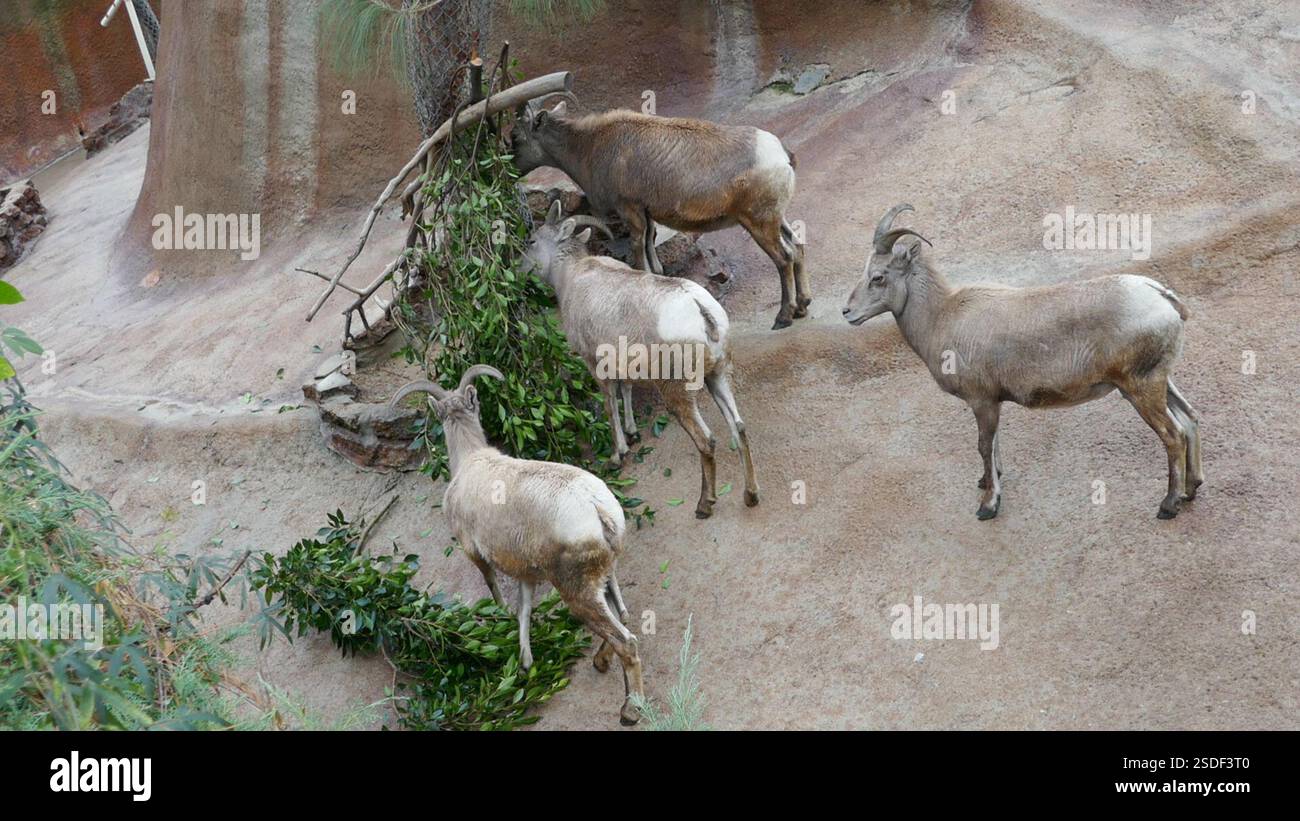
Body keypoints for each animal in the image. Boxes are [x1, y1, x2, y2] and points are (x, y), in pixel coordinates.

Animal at [389, 364, 645, 725]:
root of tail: (599, 510)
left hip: (576, 589)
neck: (471, 461)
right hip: (603, 574)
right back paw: (601, 662)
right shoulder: (526, 573)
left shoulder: (475, 553)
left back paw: (629, 711)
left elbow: (495, 588)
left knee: (627, 641)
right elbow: (525, 609)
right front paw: (525, 663)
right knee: (621, 613)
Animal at [511, 97, 808, 330]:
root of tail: (782, 156)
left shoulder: (631, 211)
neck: (590, 147)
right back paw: (803, 306)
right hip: (777, 218)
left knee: (784, 257)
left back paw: (783, 317)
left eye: (515, 137)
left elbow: (640, 257)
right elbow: (655, 261)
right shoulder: (648, 215)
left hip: (759, 222)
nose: (511, 171)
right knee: (798, 247)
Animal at [523, 200, 760, 520]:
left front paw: (618, 454)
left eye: (532, 241)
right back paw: (750, 495)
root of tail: (702, 312)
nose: (520, 270)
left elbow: (610, 403)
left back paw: (703, 505)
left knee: (706, 439)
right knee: (739, 427)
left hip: (677, 390)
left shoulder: (594, 362)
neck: (572, 276)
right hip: (717, 376)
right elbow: (626, 389)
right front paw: (633, 433)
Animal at [842, 204, 1203, 520]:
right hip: (1158, 381)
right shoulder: (990, 402)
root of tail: (1163, 298)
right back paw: (1192, 489)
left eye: (878, 277)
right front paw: (986, 482)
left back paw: (1168, 505)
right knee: (1190, 419)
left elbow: (983, 446)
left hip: (1140, 388)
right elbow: (993, 444)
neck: (942, 318)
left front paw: (988, 506)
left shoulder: (982, 400)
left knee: (1173, 434)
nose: (847, 312)